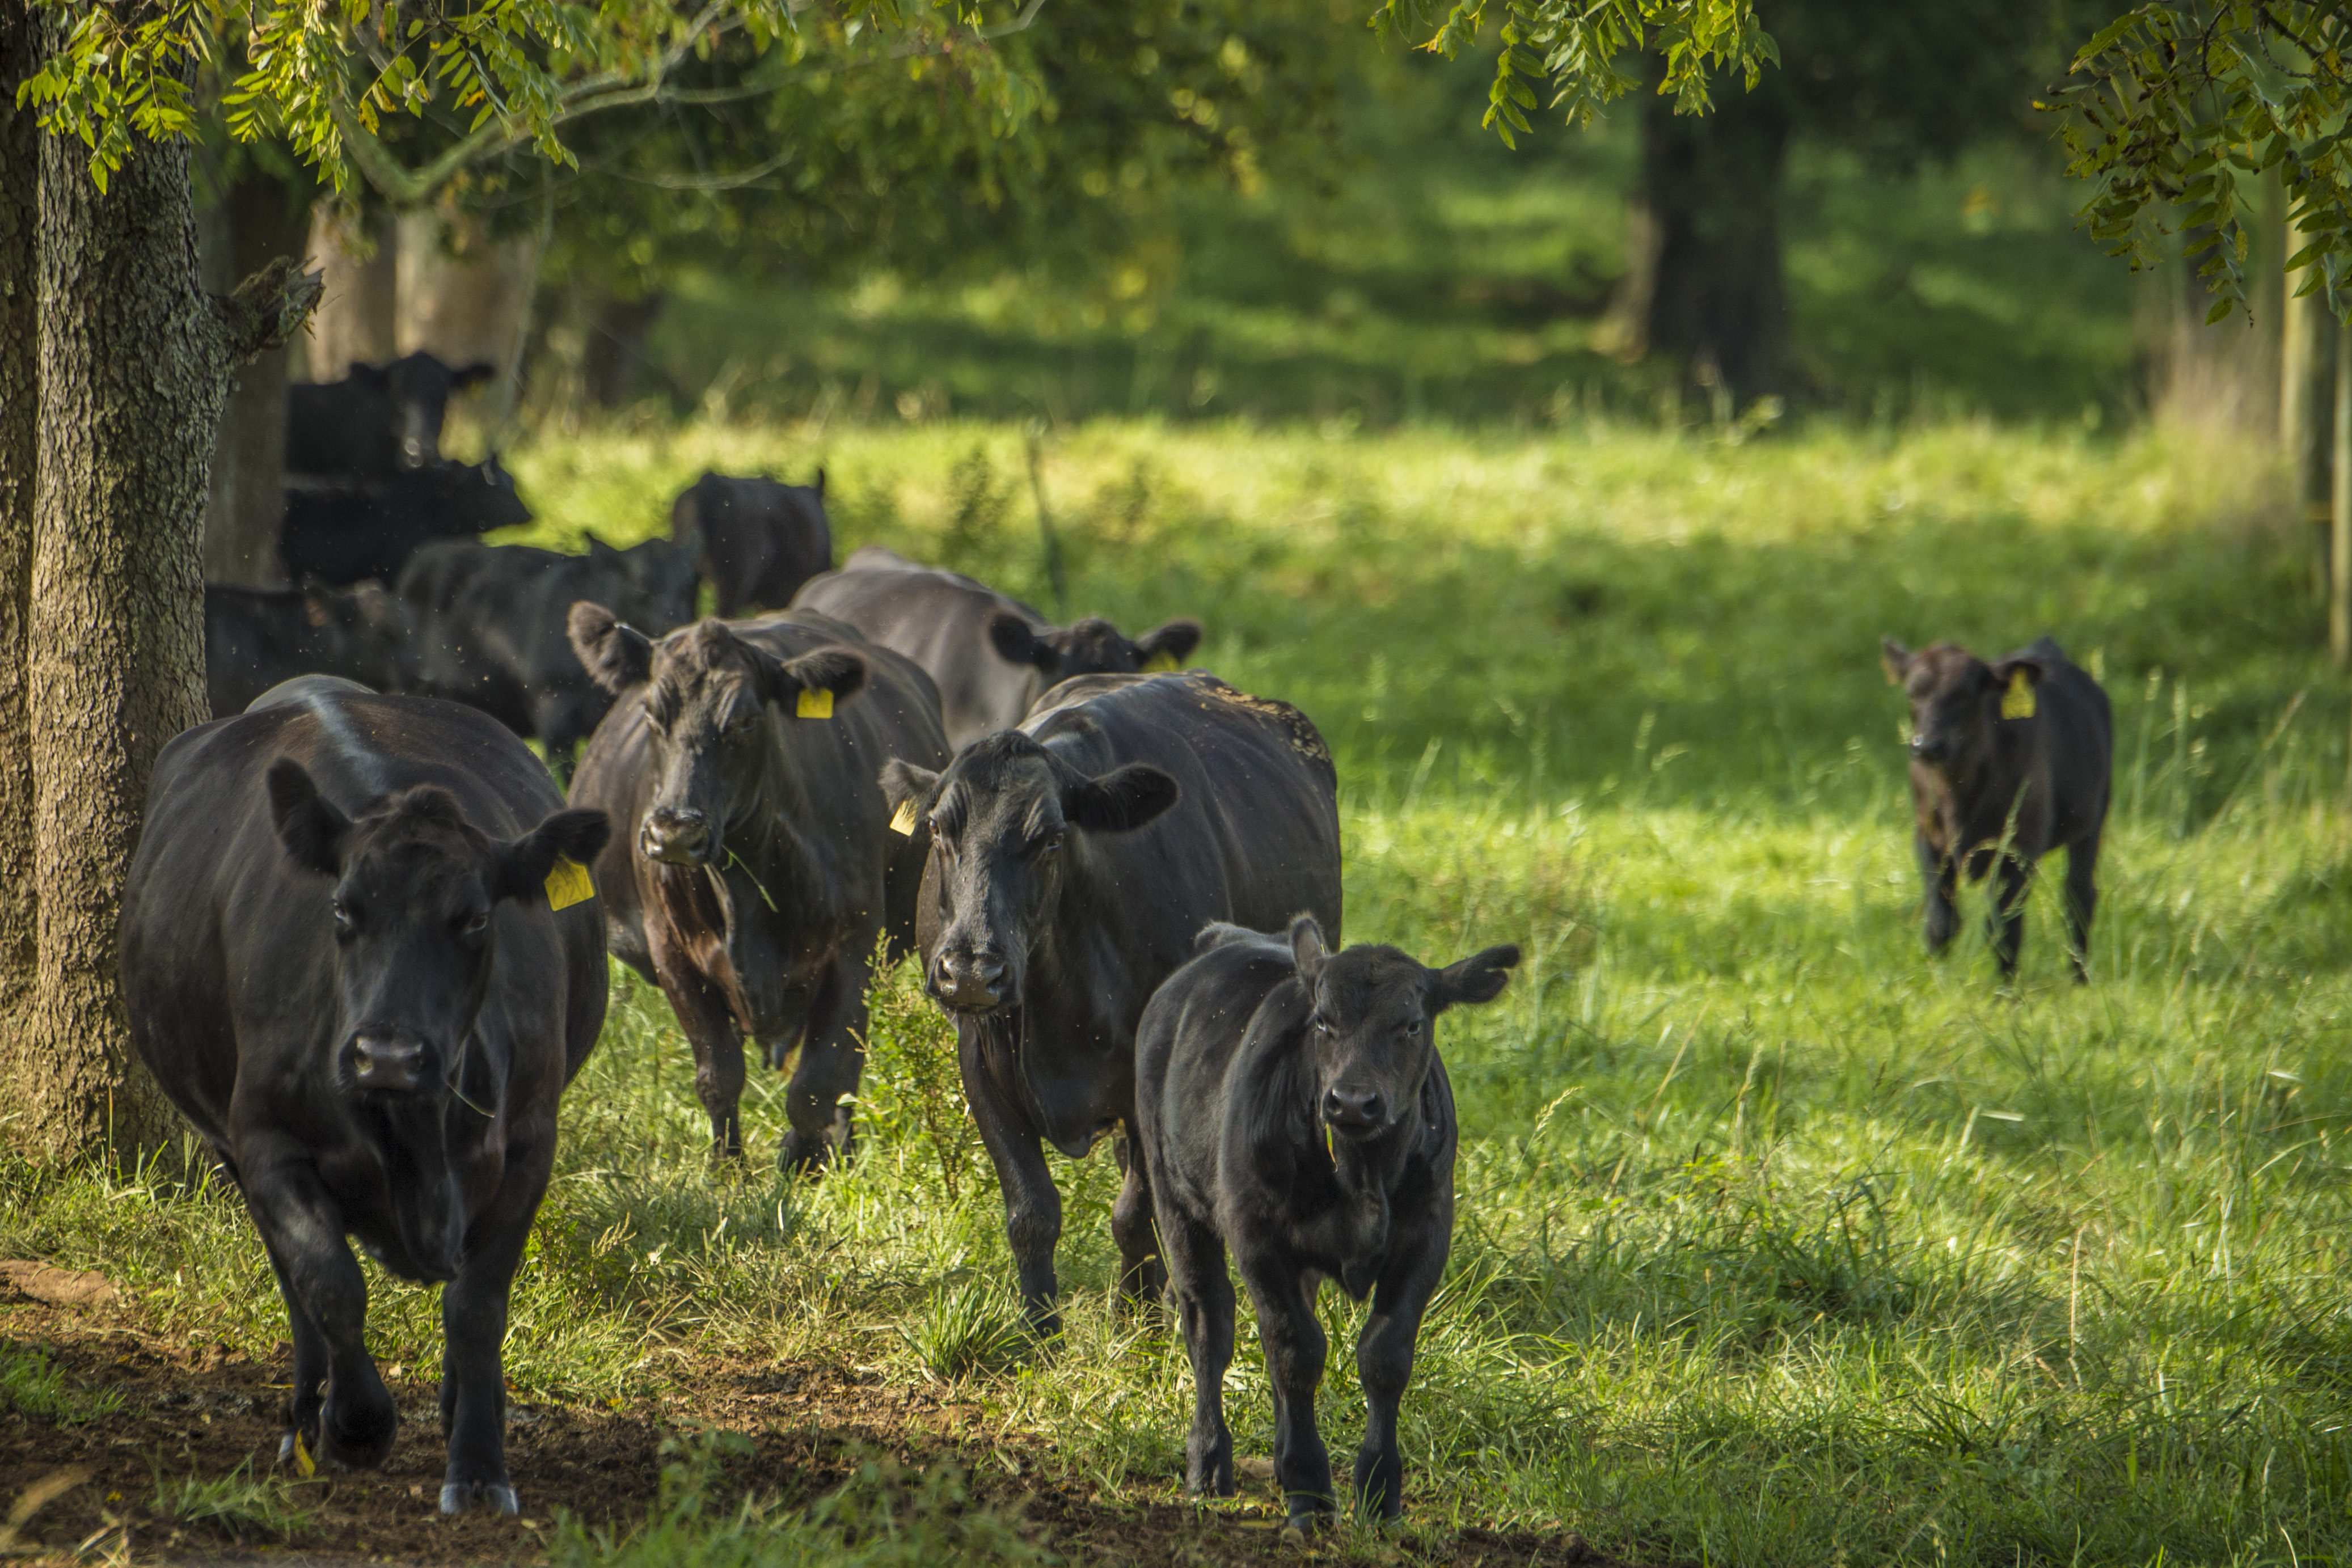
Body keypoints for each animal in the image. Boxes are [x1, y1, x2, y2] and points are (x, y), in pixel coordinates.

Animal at [117, 679, 611, 1517]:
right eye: (343, 909)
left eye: (475, 918)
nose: (388, 1056)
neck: (411, 1133)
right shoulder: (266, 1141)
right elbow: (329, 1283)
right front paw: (354, 1422)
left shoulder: (528, 1143)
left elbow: (477, 1308)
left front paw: (479, 1463)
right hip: (226, 1143)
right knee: (295, 1281)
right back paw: (305, 1416)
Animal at [567, 606, 949, 1168]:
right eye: (653, 715)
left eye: (746, 721)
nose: (674, 832)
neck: (743, 886)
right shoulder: (670, 950)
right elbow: (719, 1075)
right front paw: (728, 1169)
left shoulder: (855, 947)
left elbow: (818, 1085)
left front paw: (807, 1163)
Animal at [878, 671, 1342, 1331]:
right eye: (939, 829)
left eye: (1051, 838)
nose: (970, 972)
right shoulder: (981, 1060)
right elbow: (1032, 1211)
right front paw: (1038, 1328)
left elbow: (1134, 1215)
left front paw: (1137, 1319)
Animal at [1136, 917, 1517, 1527]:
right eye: (1322, 1020)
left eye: (1411, 1024)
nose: (1353, 1102)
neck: (1362, 1172)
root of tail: (1228, 938)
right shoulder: (1256, 1235)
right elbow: (1296, 1353)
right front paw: (1310, 1489)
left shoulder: (1427, 1236)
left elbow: (1384, 1356)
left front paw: (1379, 1489)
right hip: (1174, 1196)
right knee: (1209, 1324)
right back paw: (1209, 1460)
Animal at [1880, 634, 2113, 980]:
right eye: (1912, 693)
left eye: (1965, 694)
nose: (1927, 745)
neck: (1958, 795)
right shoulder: (1929, 837)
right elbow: (1941, 922)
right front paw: (1937, 982)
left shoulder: (2020, 844)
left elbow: (2004, 927)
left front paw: (2006, 991)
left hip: (2092, 820)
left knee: (2079, 897)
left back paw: (2079, 980)